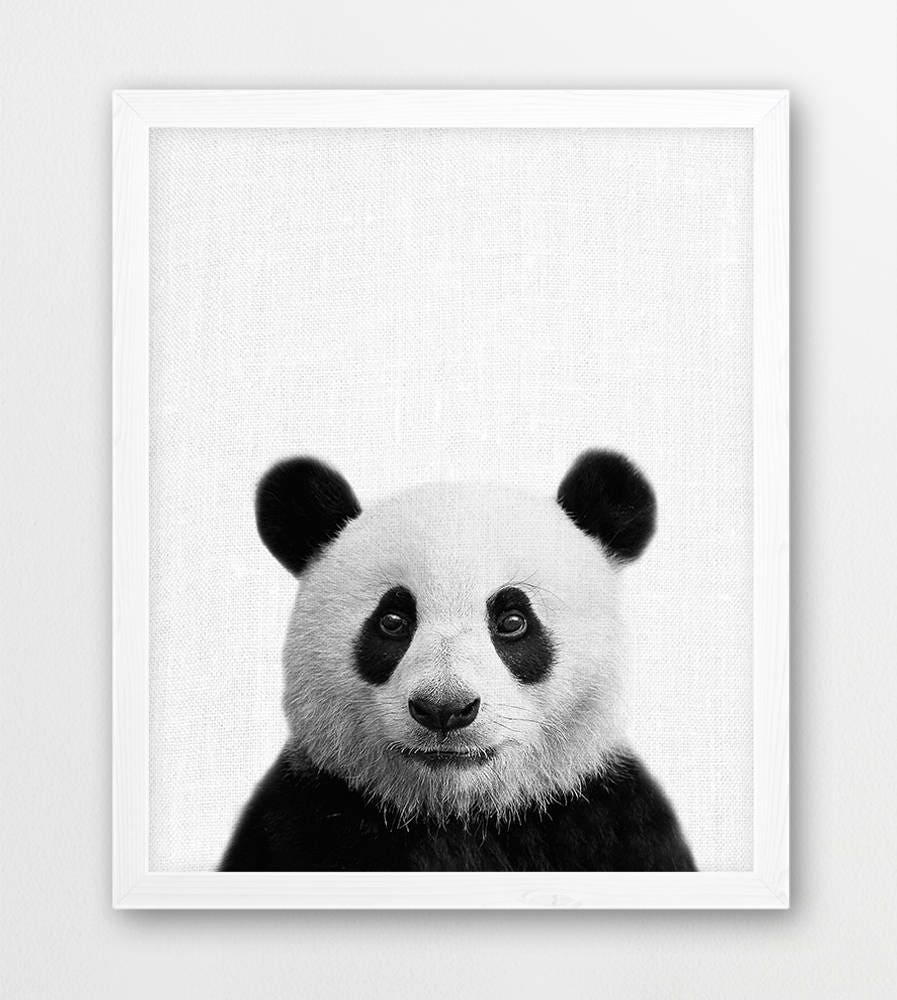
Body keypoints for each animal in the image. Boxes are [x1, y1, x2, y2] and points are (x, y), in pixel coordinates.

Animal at [220, 450, 695, 872]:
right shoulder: (302, 820)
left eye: (513, 621)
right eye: (392, 621)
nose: (444, 709)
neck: (458, 812)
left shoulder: (610, 822)